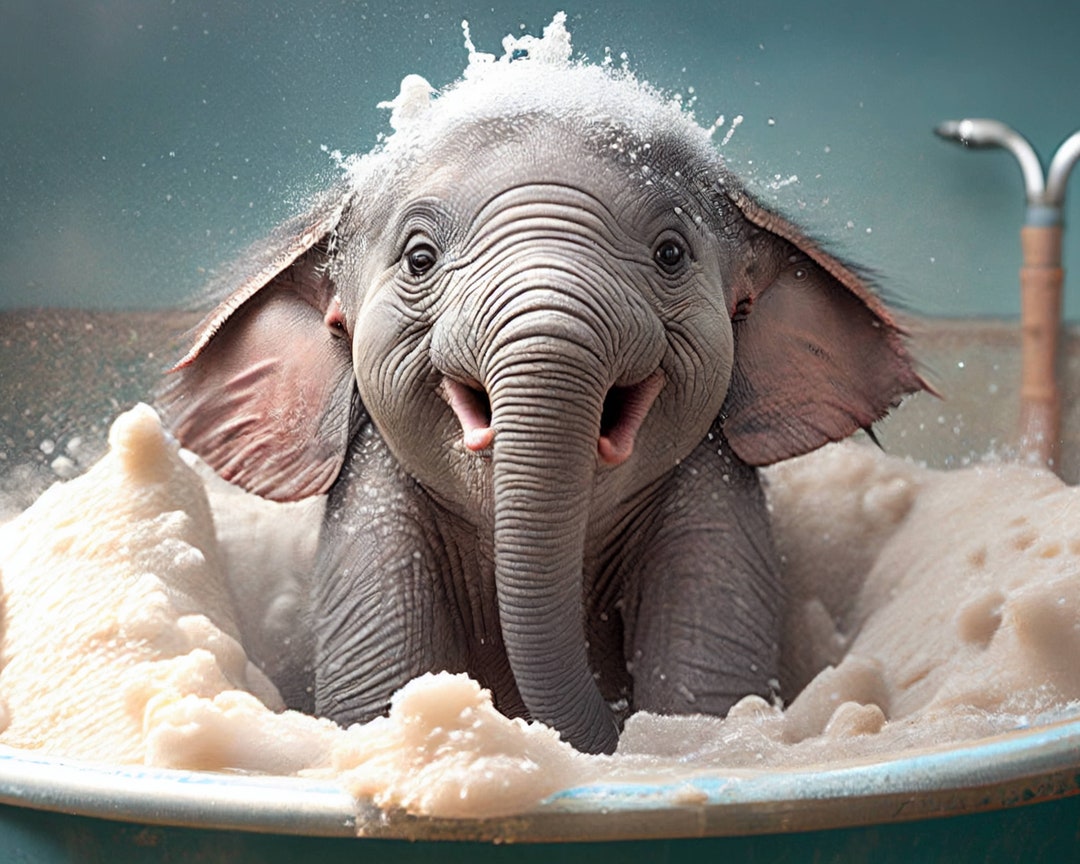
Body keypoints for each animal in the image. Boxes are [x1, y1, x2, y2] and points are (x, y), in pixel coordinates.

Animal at [159, 59, 924, 754]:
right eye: (419, 259)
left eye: (671, 254)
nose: (602, 734)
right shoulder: (371, 514)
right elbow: (374, 688)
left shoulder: (714, 502)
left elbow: (707, 690)